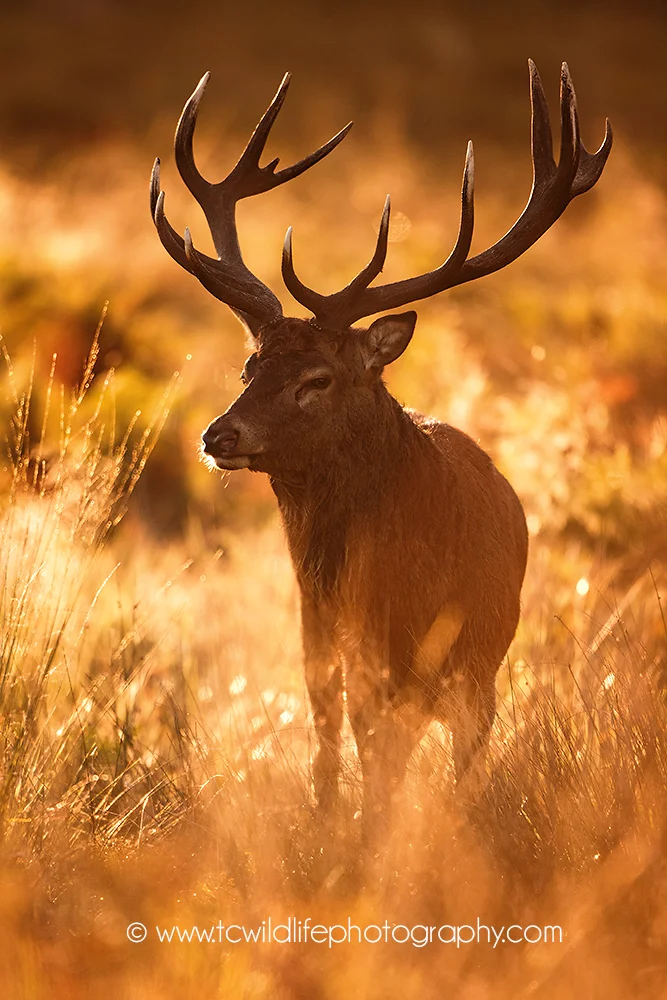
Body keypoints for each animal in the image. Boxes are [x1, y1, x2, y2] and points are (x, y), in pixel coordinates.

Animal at [150, 62, 612, 845]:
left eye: (318, 379)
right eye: (249, 367)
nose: (218, 436)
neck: (403, 586)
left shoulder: (462, 661)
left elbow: (429, 768)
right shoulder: (335, 646)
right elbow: (350, 751)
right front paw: (346, 835)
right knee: (339, 735)